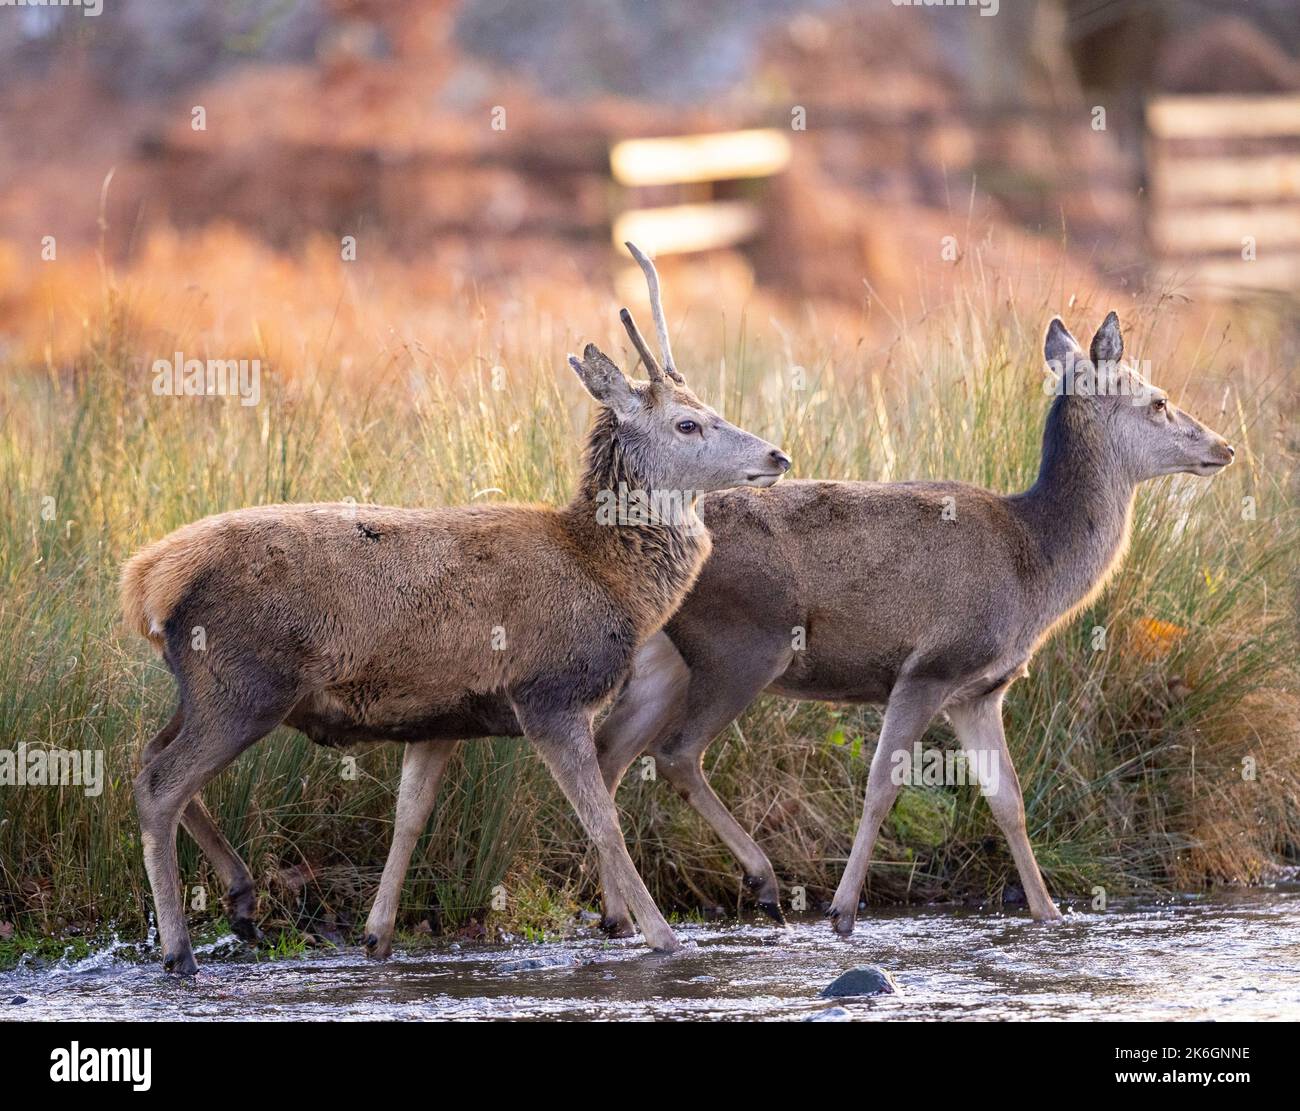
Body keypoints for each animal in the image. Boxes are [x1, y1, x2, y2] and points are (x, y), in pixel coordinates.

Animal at [120, 243, 791, 974]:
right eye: (687, 423)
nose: (777, 454)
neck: (607, 576)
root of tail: (146, 579)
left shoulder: (439, 715)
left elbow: (410, 818)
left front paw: (377, 934)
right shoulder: (549, 693)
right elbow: (602, 821)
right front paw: (663, 936)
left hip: (204, 685)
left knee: (146, 755)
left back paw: (242, 899)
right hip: (244, 683)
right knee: (159, 782)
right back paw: (179, 948)